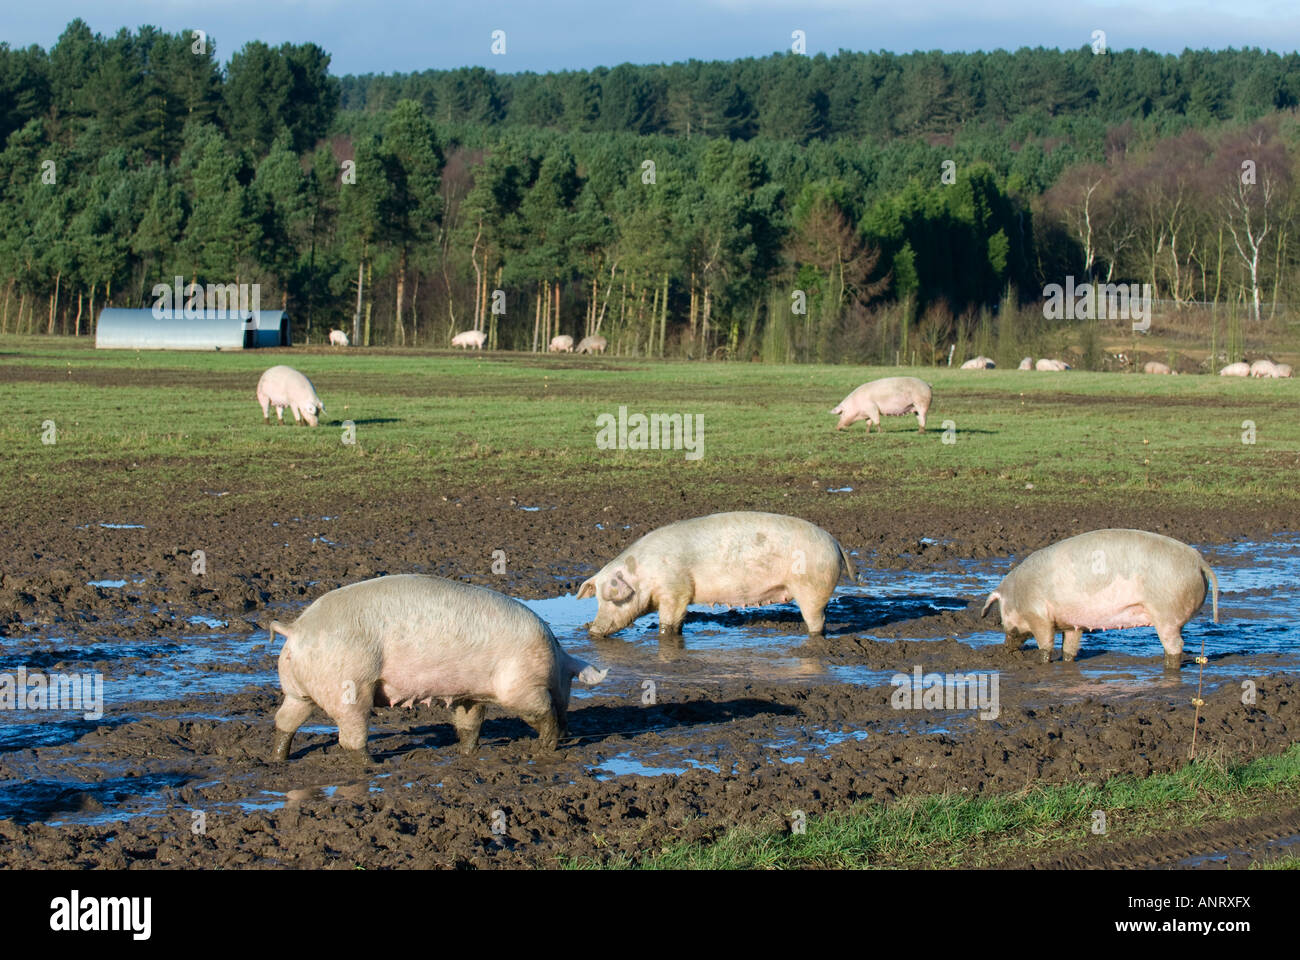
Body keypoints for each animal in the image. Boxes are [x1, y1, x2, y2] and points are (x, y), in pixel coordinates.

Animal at [269, 575, 607, 763]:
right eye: (570, 681)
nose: (569, 733)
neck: (555, 659)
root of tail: (296, 630)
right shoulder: (520, 686)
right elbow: (541, 712)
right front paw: (546, 748)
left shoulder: (470, 693)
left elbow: (469, 723)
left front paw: (467, 754)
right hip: (350, 686)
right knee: (350, 736)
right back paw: (373, 765)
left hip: (298, 690)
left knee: (285, 720)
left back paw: (279, 759)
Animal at [578, 511, 855, 640]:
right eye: (597, 600)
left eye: (612, 599)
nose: (593, 630)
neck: (645, 574)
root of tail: (835, 543)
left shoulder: (676, 591)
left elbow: (669, 623)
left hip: (811, 587)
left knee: (817, 621)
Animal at [981, 529, 1219, 671]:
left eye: (1001, 616)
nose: (1006, 648)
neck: (1018, 595)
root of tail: (1199, 562)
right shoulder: (1073, 623)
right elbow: (1069, 648)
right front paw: (1067, 662)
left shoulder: (1039, 615)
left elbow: (1046, 645)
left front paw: (1041, 664)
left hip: (1165, 613)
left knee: (1176, 645)